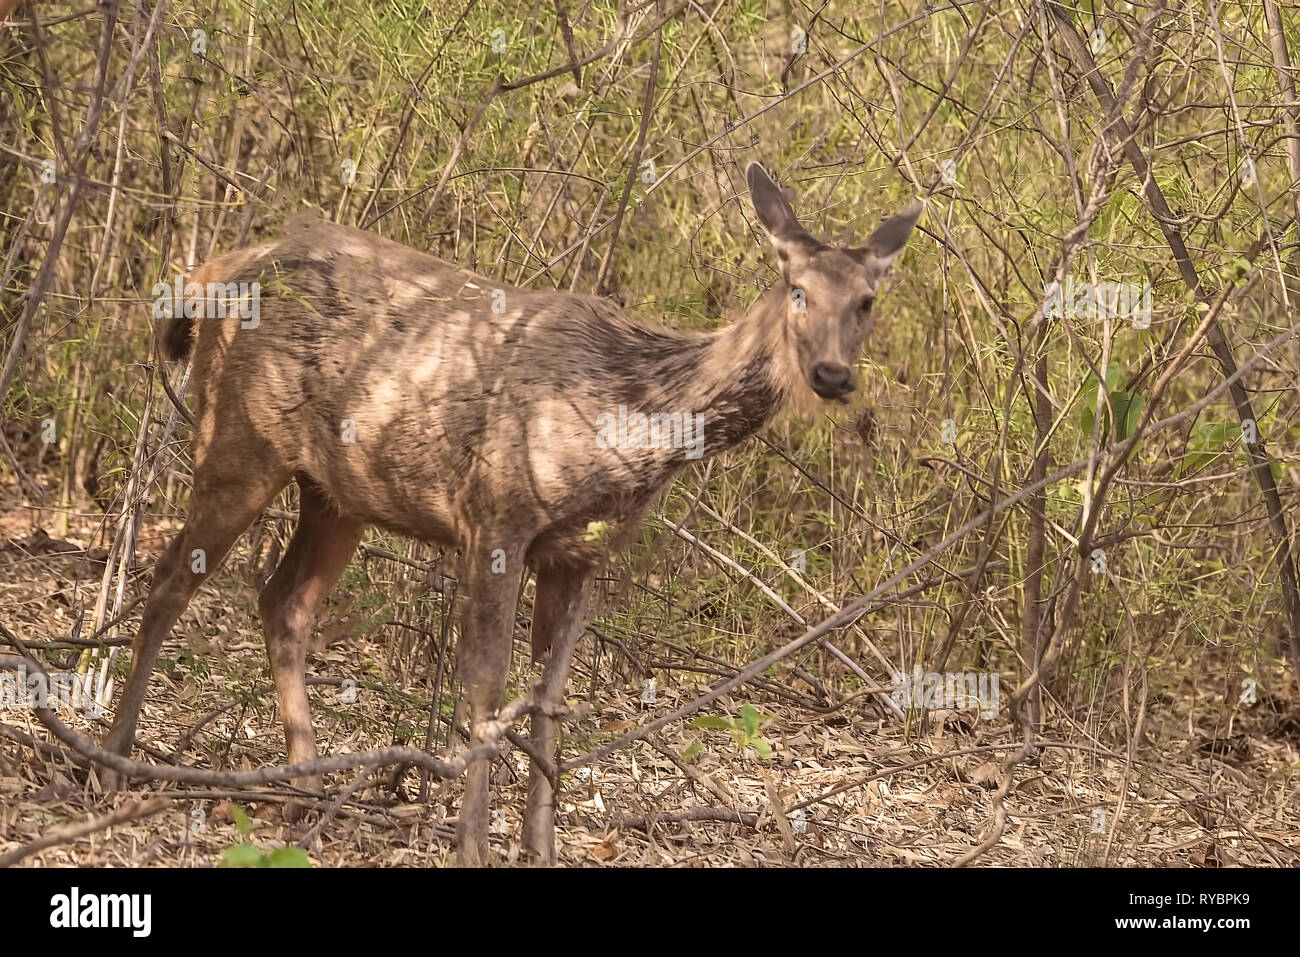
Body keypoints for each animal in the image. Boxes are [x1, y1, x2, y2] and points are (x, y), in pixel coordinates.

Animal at [99, 162, 921, 865]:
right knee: (168, 578)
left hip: (338, 491)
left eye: (868, 300)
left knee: (283, 602)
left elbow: (551, 701)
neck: (636, 417)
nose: (833, 374)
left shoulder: (582, 552)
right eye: (797, 288)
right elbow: (487, 687)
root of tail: (210, 274)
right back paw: (113, 761)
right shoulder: (495, 514)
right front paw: (470, 843)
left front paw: (540, 845)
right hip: (241, 438)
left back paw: (304, 791)